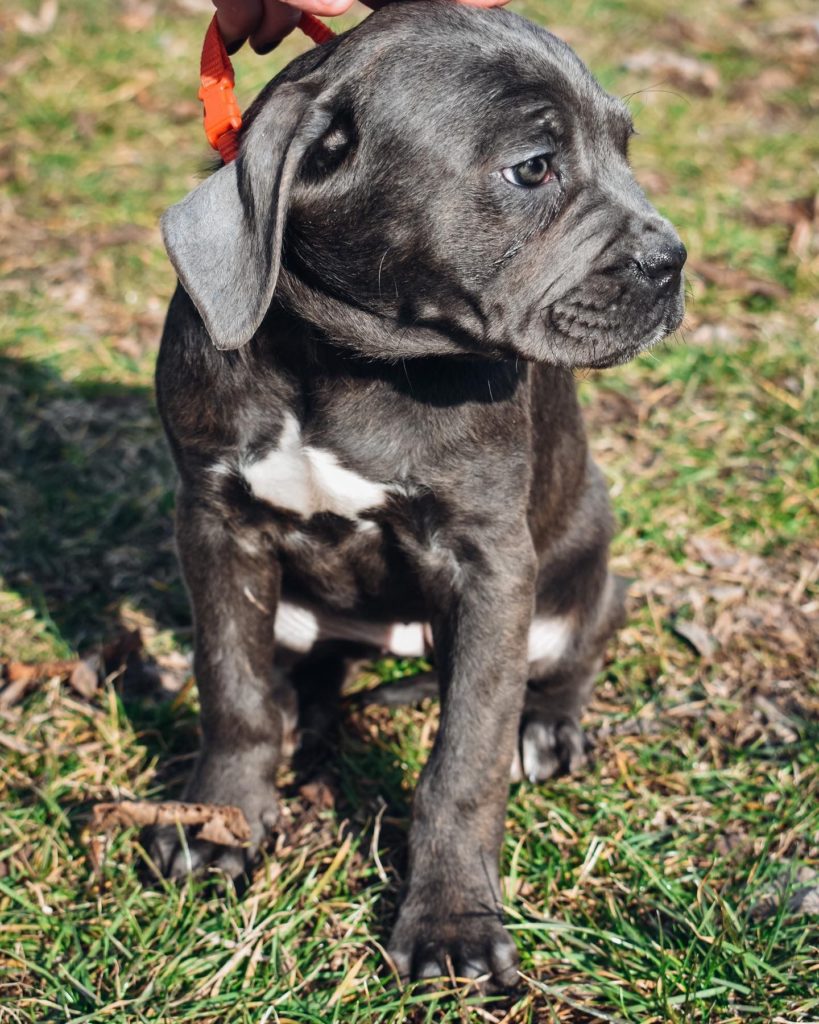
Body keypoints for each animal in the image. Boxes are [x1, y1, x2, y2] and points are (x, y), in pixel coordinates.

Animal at [151, 0, 683, 991]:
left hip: (576, 567)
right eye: (532, 167)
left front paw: (450, 921)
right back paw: (307, 721)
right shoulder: (215, 522)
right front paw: (220, 824)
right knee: (302, 674)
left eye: (626, 148)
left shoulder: (488, 561)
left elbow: (464, 759)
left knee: (583, 638)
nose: (672, 261)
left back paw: (548, 729)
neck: (342, 360)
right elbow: (231, 687)